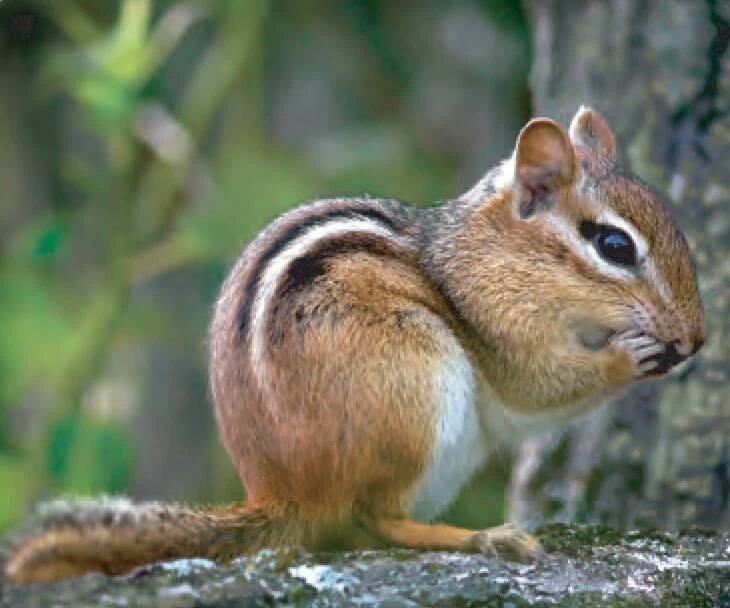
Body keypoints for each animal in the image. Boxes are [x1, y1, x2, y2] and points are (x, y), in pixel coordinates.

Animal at [2, 107, 705, 585]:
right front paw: (628, 358)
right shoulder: (498, 320)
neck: (498, 251)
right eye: (614, 245)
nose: (696, 338)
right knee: (375, 518)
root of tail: (284, 492)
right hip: (416, 384)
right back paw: (481, 538)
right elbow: (533, 388)